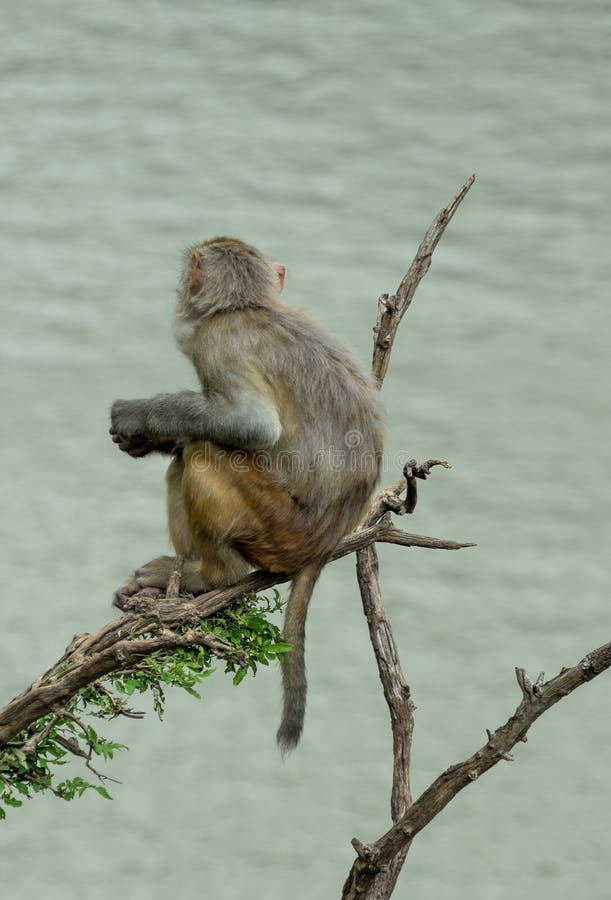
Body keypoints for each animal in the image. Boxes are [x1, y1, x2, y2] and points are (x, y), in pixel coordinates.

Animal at [110, 237, 384, 752]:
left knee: (204, 453)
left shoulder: (216, 344)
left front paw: (142, 414)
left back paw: (210, 578)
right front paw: (152, 436)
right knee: (190, 455)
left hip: (276, 525)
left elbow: (250, 425)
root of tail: (326, 541)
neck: (246, 306)